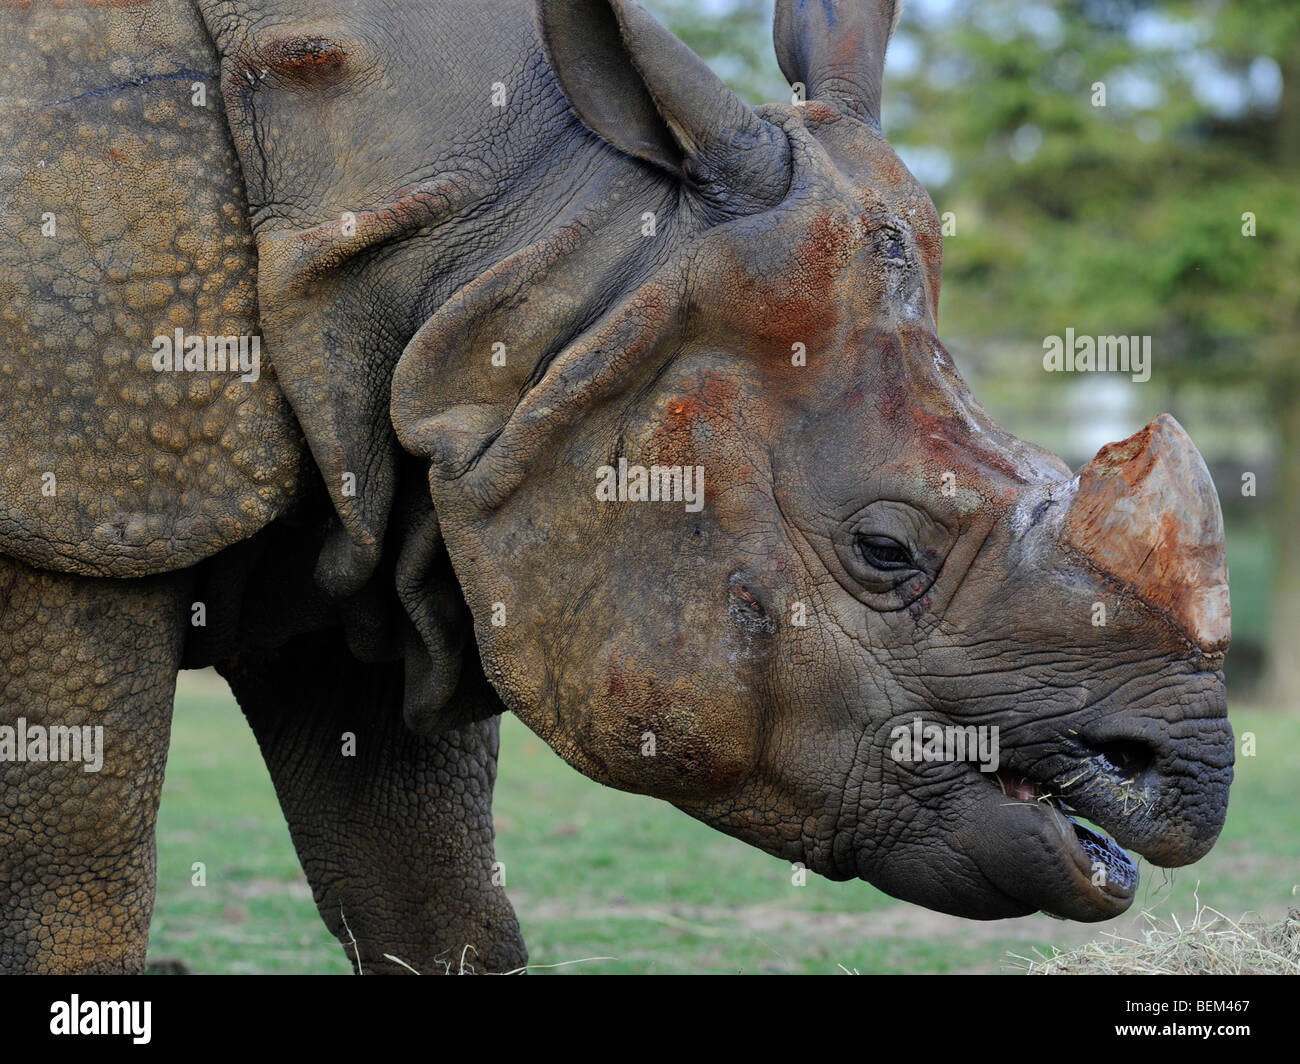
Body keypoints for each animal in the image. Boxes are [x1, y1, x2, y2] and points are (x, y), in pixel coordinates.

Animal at [0, 0, 1231, 974]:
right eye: (886, 551)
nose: (1187, 773)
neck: (520, 262)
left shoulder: (406, 522)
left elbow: (428, 895)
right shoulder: (69, 530)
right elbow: (73, 890)